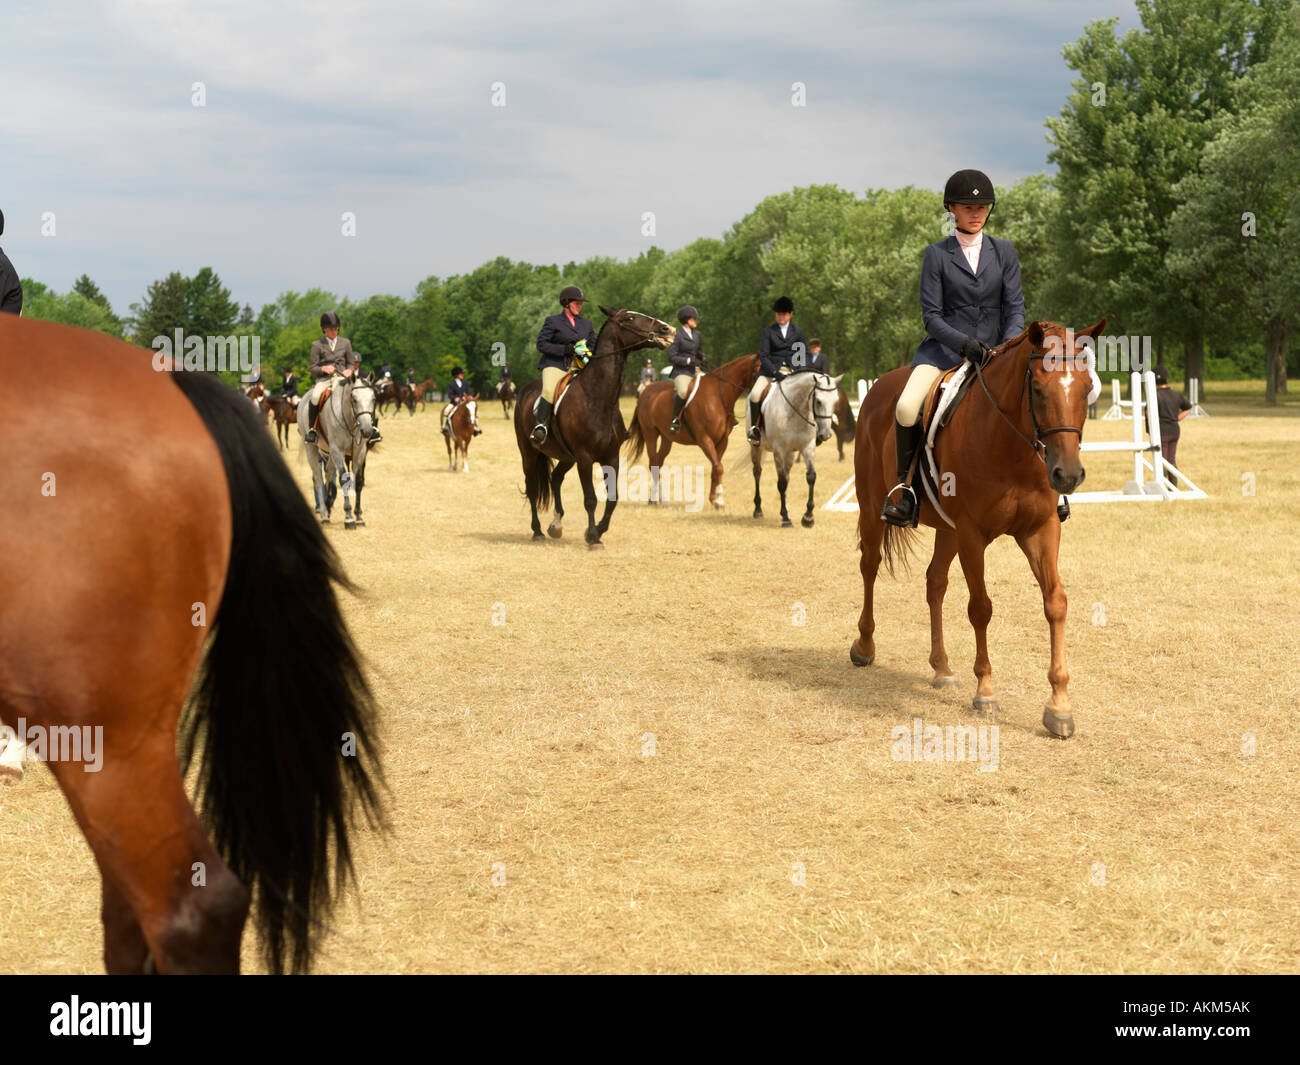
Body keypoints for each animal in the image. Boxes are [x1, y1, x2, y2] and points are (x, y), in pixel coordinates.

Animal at [298, 375, 380, 529]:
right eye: (354, 399)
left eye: (373, 399)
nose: (367, 431)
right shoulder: (338, 451)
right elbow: (344, 480)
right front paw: (349, 518)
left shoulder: (359, 451)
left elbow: (358, 481)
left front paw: (359, 517)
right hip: (312, 448)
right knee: (318, 479)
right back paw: (324, 514)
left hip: (330, 453)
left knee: (329, 474)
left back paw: (328, 507)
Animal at [512, 306, 675, 548]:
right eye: (629, 318)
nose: (667, 329)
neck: (597, 397)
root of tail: (524, 391)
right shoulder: (585, 457)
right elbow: (590, 499)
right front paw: (592, 537)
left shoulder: (611, 457)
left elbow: (612, 499)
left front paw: (598, 530)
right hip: (530, 453)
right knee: (532, 488)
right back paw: (538, 531)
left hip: (567, 457)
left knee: (555, 478)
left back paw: (556, 525)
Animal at [625, 353, 760, 510]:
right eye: (758, 370)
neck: (718, 396)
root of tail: (645, 393)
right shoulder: (704, 439)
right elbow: (719, 467)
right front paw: (719, 500)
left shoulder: (722, 441)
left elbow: (716, 468)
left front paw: (714, 500)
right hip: (650, 433)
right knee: (653, 462)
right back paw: (656, 499)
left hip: (666, 438)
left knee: (658, 462)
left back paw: (657, 499)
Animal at [749, 370, 842, 527]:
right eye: (818, 401)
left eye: (835, 402)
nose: (826, 435)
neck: (796, 410)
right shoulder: (779, 451)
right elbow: (781, 483)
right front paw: (786, 518)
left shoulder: (808, 447)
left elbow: (810, 477)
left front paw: (808, 517)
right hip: (756, 447)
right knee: (757, 472)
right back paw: (758, 510)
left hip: (790, 454)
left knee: (786, 477)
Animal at [850, 319, 1106, 740]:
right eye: (1038, 389)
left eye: (1086, 388)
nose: (1067, 475)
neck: (1011, 447)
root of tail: (879, 387)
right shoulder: (972, 533)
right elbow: (980, 608)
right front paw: (985, 690)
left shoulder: (1041, 529)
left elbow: (1055, 603)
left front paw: (1059, 706)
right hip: (873, 508)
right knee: (870, 567)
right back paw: (864, 646)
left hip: (947, 530)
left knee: (935, 582)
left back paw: (941, 668)